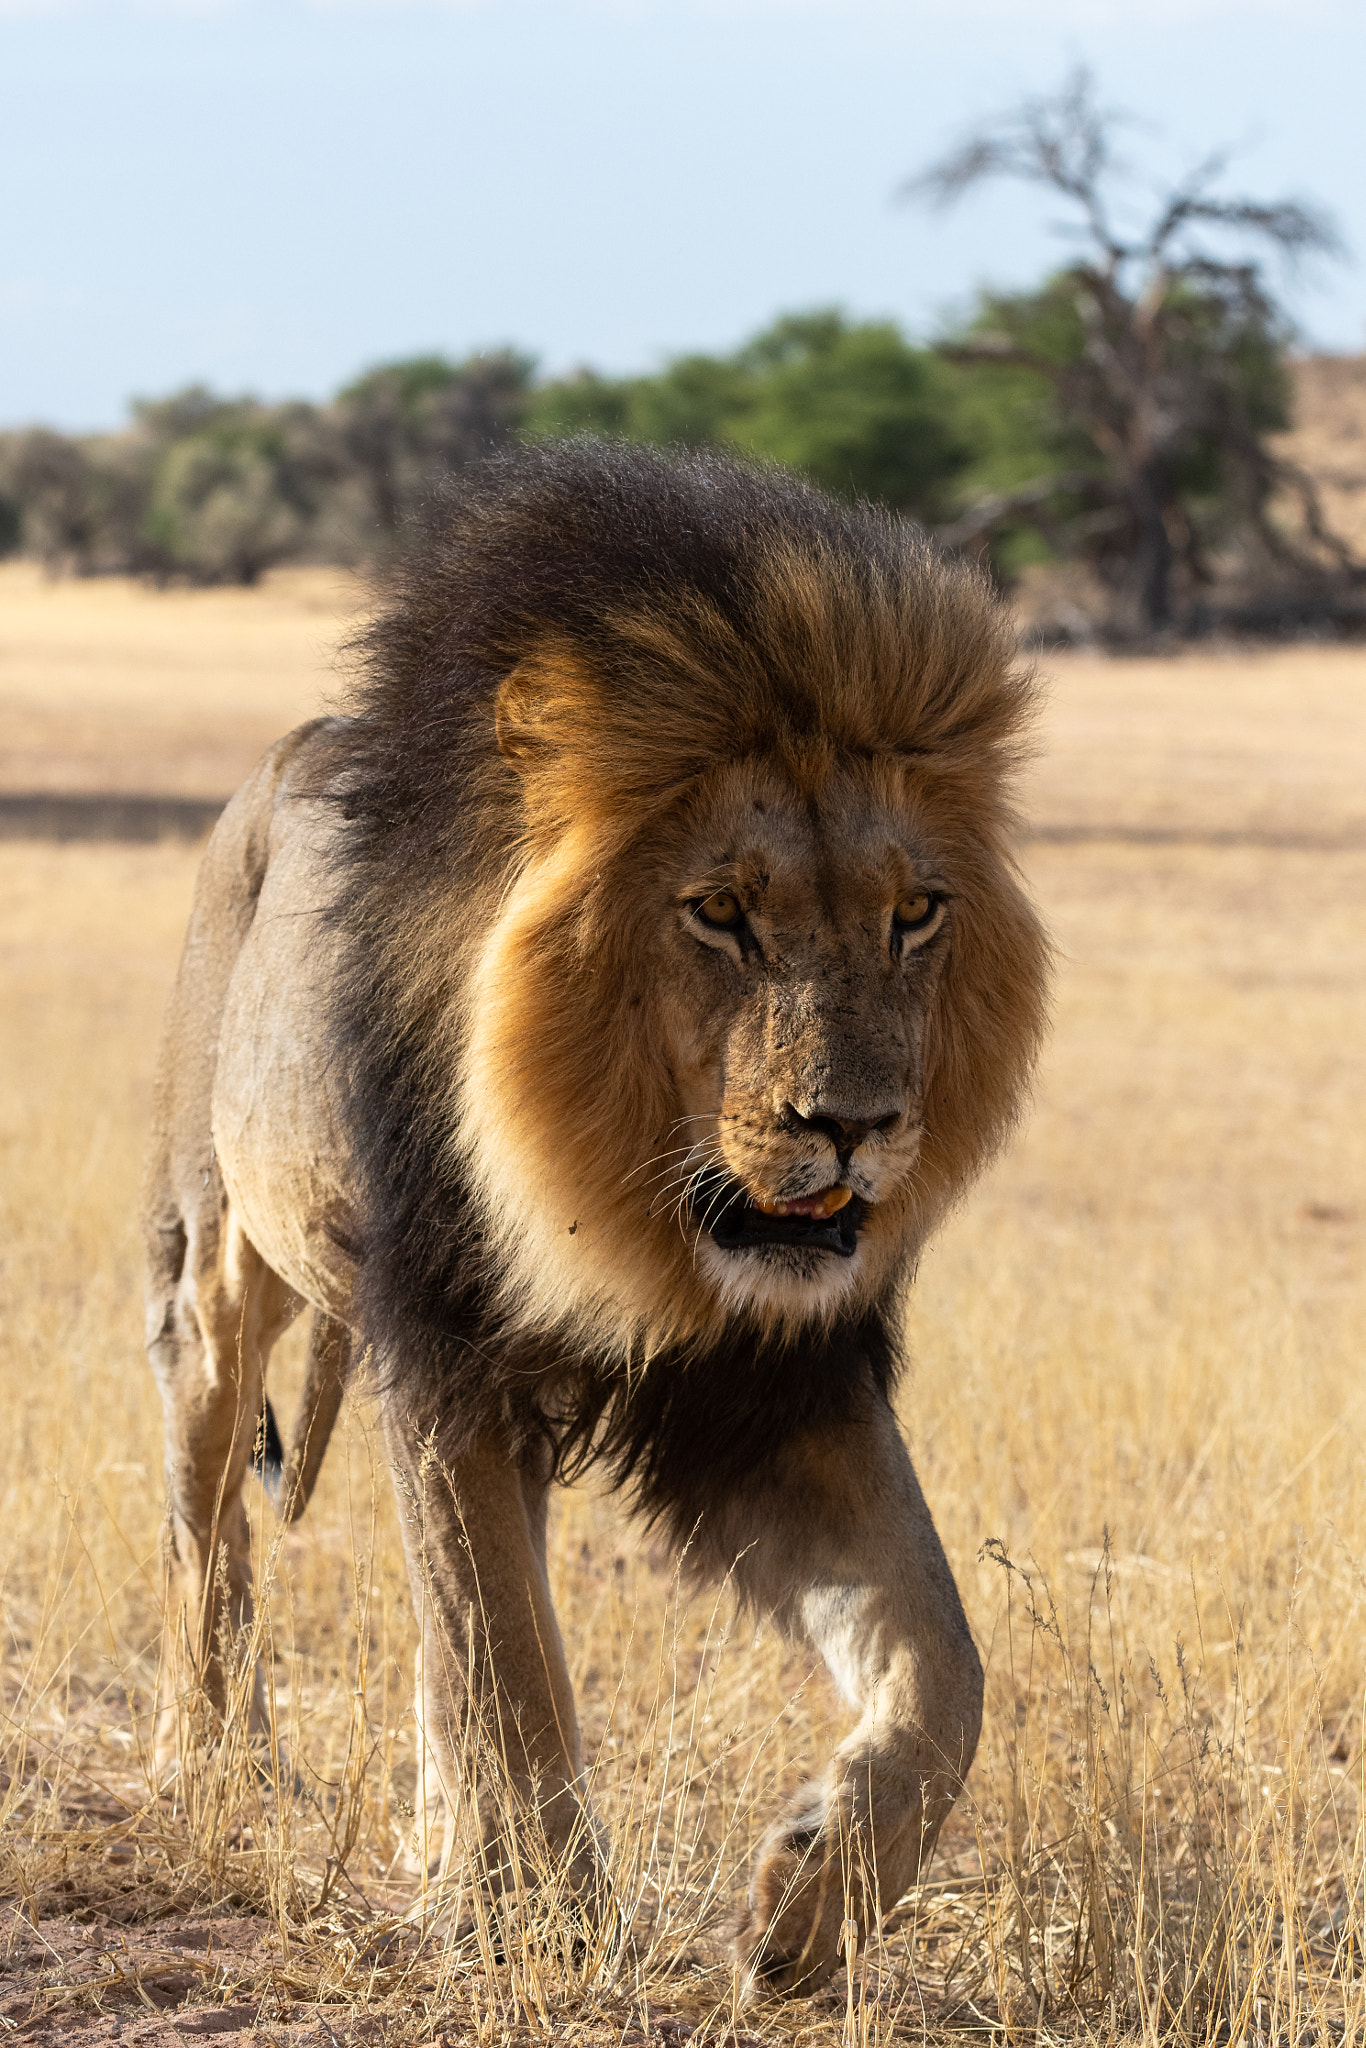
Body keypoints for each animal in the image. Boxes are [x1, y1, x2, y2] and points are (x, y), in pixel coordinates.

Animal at [142, 440, 1049, 1996]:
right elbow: (502, 1658)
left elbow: (944, 1662)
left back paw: (435, 1839)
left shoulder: (774, 1380)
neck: (615, 1200)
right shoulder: (440, 1344)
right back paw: (218, 1769)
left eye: (914, 913)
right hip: (219, 1275)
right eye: (721, 912)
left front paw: (811, 1902)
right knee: (212, 1529)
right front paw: (542, 1926)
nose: (855, 1126)